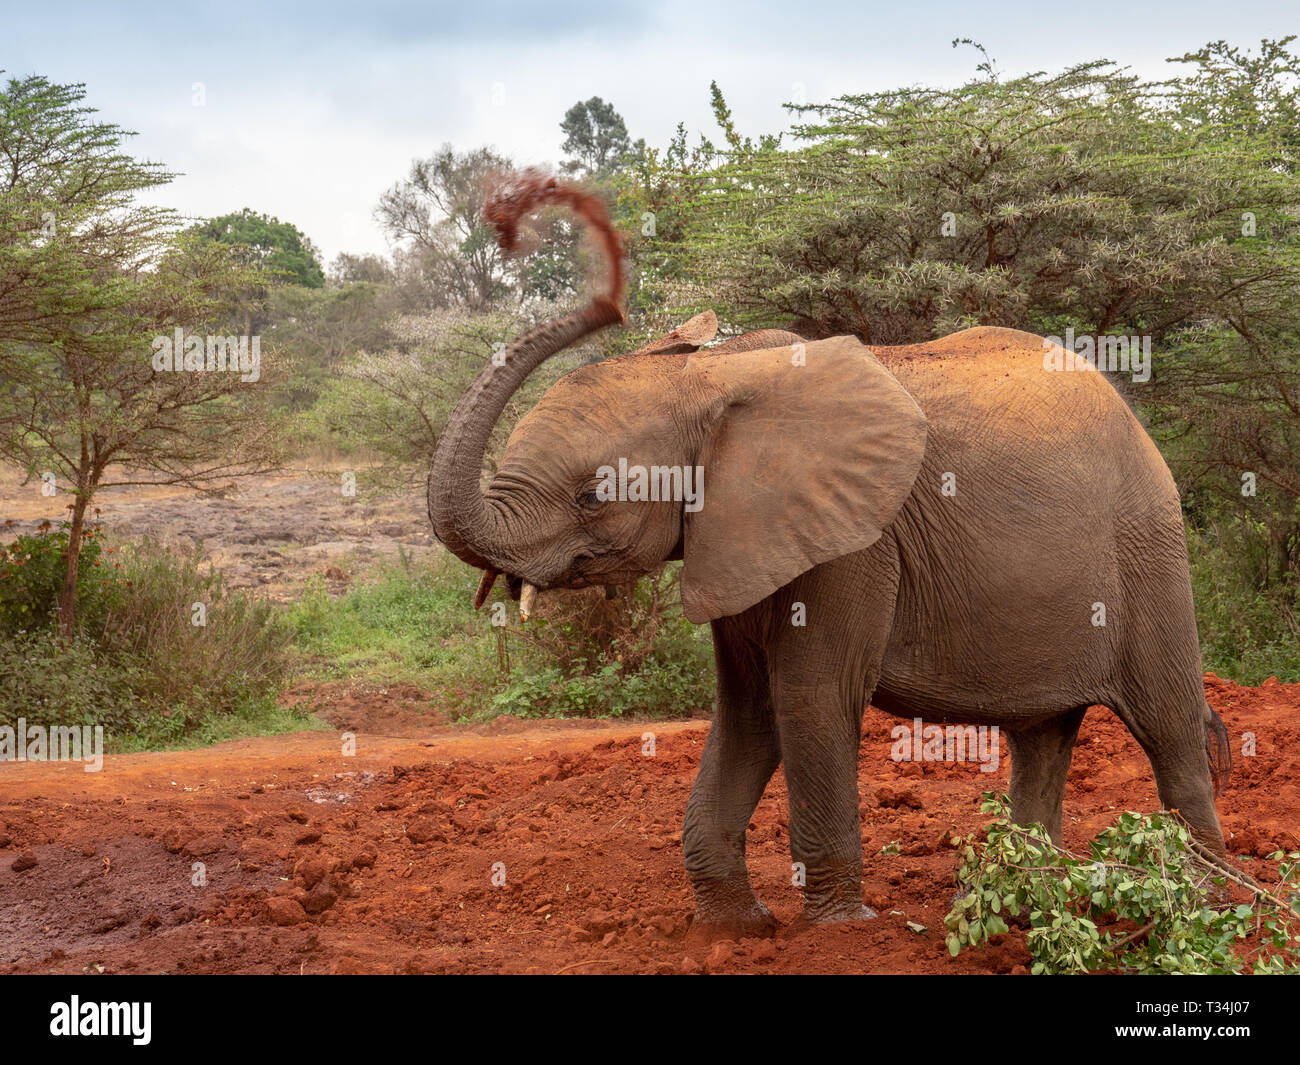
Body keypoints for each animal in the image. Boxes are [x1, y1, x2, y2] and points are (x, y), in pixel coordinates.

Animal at [428, 205, 1231, 938]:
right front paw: (738, 928)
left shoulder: (854, 544)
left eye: (592, 495)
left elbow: (811, 697)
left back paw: (1210, 909)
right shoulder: (743, 535)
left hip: (1148, 547)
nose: (612, 299)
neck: (714, 376)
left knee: (1170, 728)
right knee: (1042, 735)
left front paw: (842, 928)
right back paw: (1021, 907)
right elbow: (748, 712)